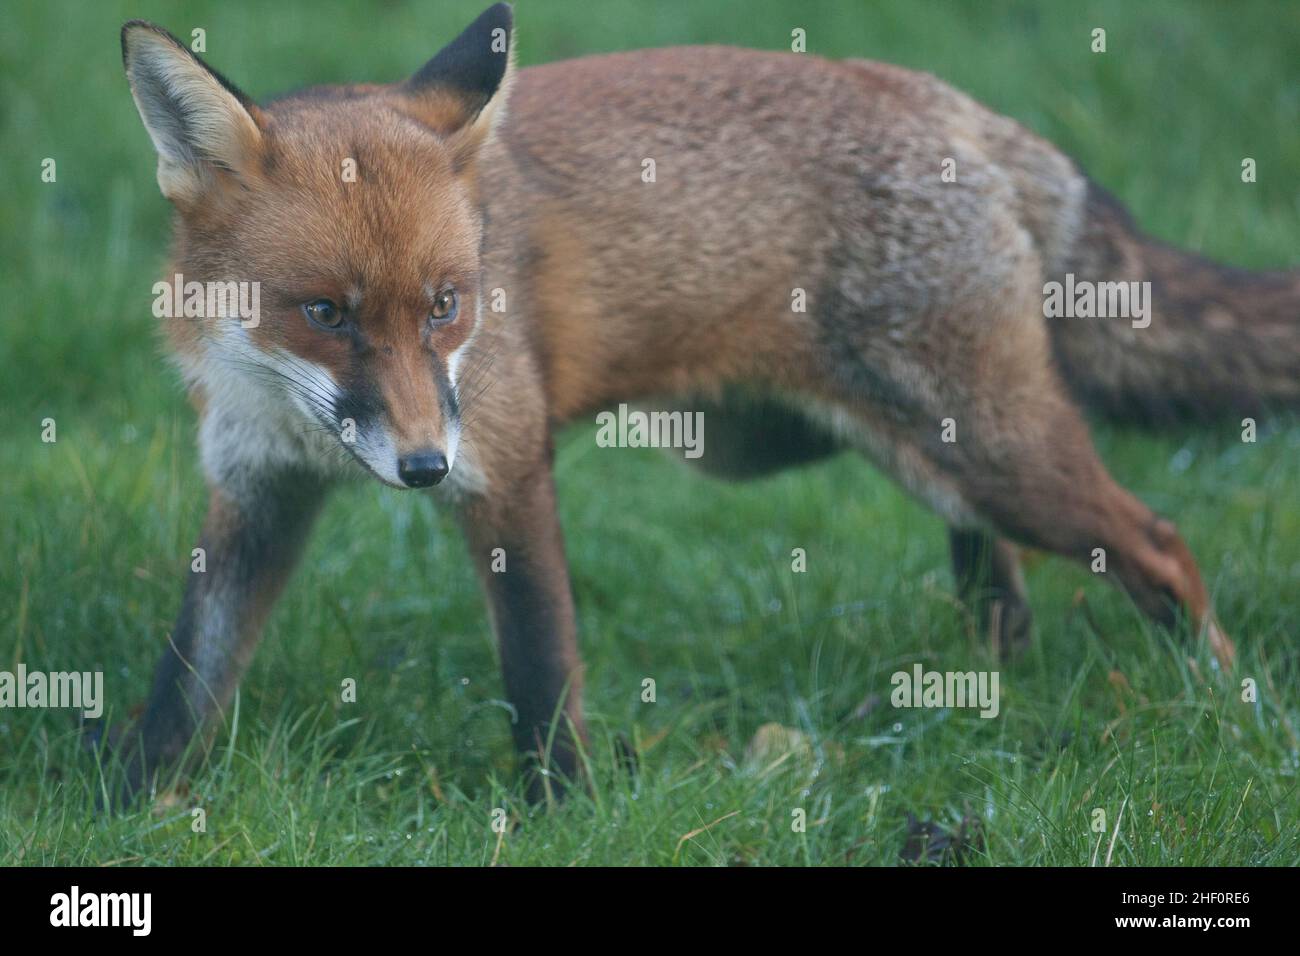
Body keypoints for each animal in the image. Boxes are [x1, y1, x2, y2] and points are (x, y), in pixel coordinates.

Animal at [116, 3, 1296, 801]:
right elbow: (187, 672)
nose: (419, 470)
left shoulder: (503, 461)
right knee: (995, 570)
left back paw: (1222, 706)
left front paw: (561, 811)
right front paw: (127, 796)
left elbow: (540, 669)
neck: (293, 416)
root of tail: (945, 99)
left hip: (984, 451)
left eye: (447, 305)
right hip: (898, 448)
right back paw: (992, 675)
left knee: (1156, 541)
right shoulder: (257, 489)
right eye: (324, 312)